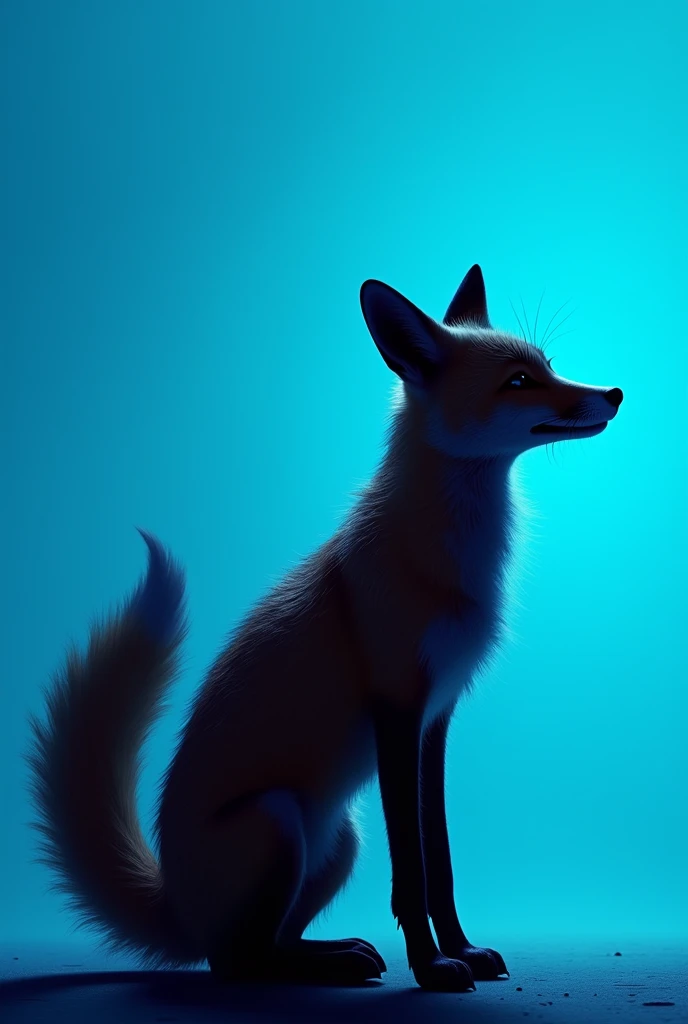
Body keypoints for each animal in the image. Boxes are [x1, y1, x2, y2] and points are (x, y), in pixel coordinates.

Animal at [27, 265, 623, 993]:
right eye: (517, 380)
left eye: (549, 365)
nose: (615, 394)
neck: (445, 568)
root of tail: (177, 904)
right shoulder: (396, 709)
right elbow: (412, 872)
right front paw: (431, 968)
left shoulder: (435, 721)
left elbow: (441, 861)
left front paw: (462, 949)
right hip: (278, 821)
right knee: (237, 963)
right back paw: (330, 964)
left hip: (338, 842)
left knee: (267, 943)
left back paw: (336, 952)